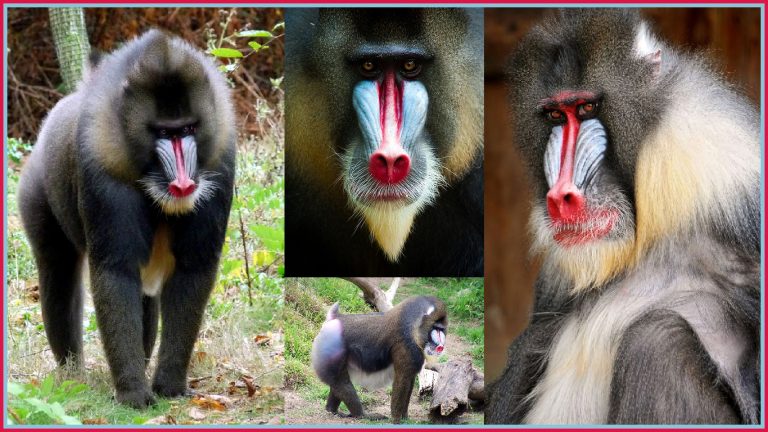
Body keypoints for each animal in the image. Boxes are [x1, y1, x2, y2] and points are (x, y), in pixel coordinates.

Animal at [17, 30, 236, 408]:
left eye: (188, 129)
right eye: (162, 133)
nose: (184, 183)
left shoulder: (220, 160)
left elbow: (192, 270)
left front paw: (169, 385)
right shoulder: (105, 168)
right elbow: (115, 273)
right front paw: (133, 393)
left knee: (146, 300)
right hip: (38, 202)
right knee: (58, 277)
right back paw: (72, 376)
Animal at [311, 296, 447, 423]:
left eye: (442, 329)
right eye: (435, 328)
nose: (441, 345)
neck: (414, 325)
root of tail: (334, 318)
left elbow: (409, 383)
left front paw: (405, 418)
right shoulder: (407, 347)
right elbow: (402, 381)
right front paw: (397, 420)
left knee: (337, 384)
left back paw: (332, 410)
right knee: (341, 383)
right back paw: (362, 415)